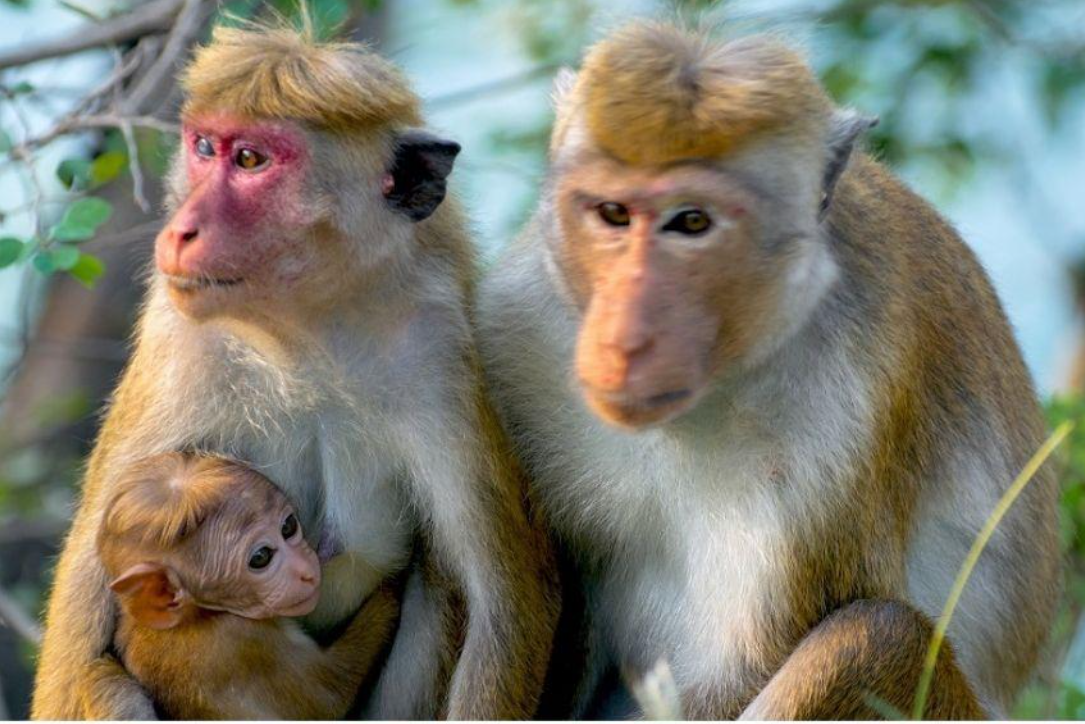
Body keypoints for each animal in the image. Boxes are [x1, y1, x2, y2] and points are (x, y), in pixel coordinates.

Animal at [81, 452, 398, 720]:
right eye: (261, 557)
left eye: (288, 527)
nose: (307, 572)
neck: (201, 614)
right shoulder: (245, 642)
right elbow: (330, 693)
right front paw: (392, 588)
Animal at [476, 21, 1059, 719]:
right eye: (613, 213)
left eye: (691, 222)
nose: (626, 337)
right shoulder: (517, 332)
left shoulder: (838, 414)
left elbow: (747, 665)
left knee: (879, 634)